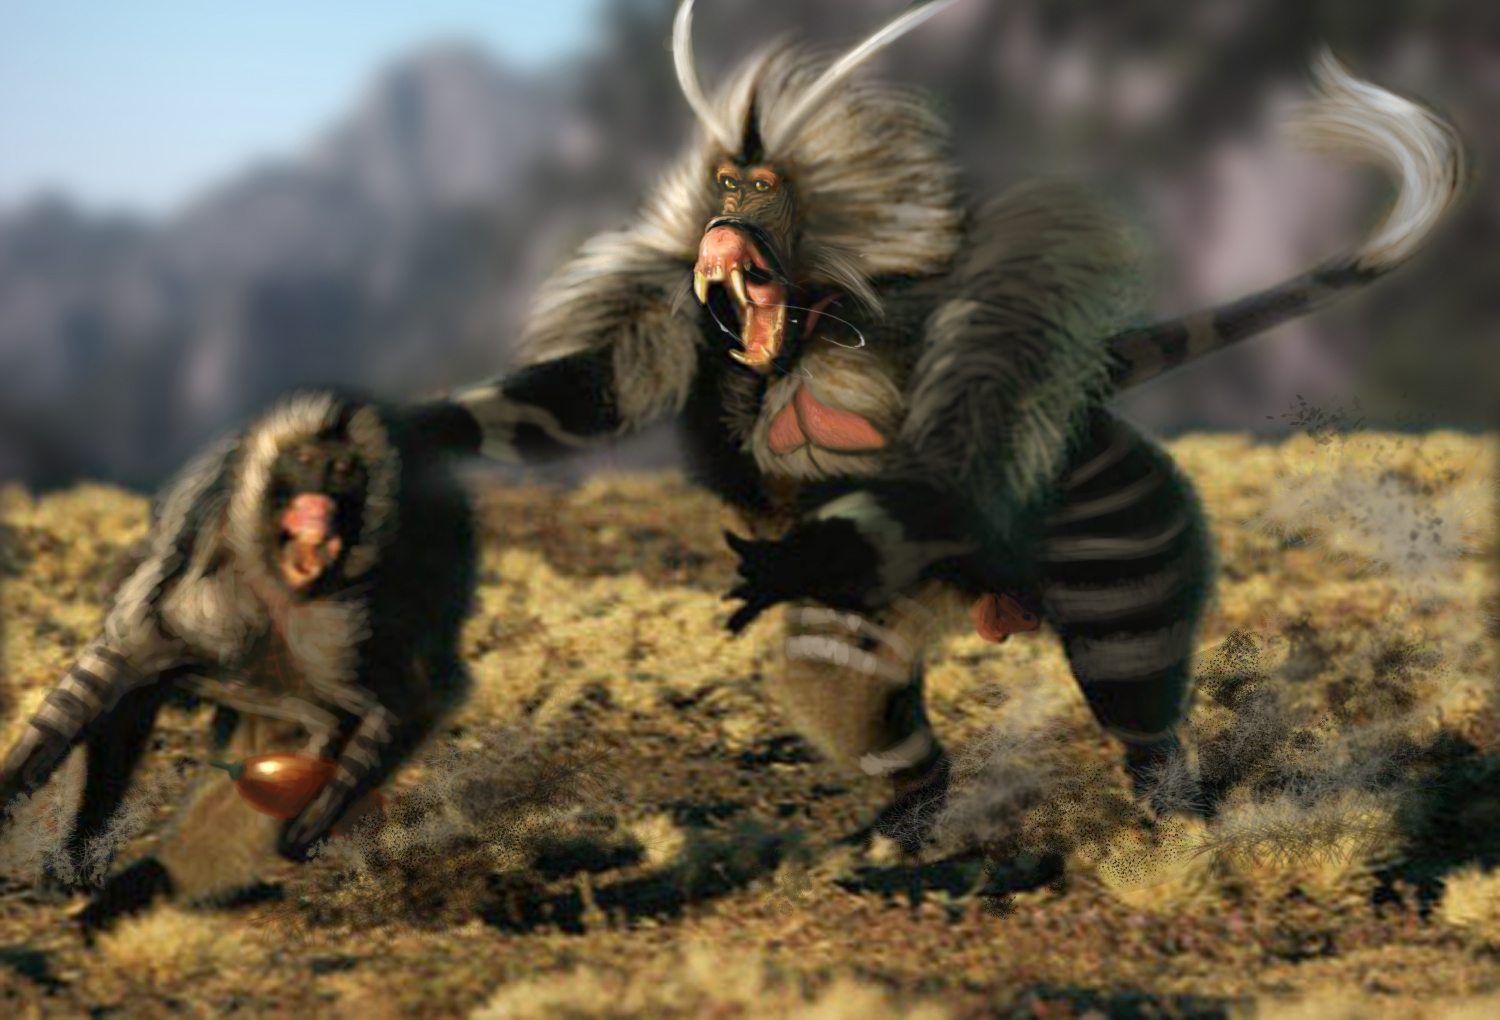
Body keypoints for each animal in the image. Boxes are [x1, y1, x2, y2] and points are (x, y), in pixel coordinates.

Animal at [408, 0, 1464, 856]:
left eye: (762, 190)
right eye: (727, 186)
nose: (724, 226)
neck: (793, 345)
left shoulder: (911, 374)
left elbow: (932, 475)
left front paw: (782, 566)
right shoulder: (666, 321)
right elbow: (581, 399)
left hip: (1118, 543)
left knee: (1126, 688)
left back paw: (1171, 818)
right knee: (852, 681)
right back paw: (911, 821)